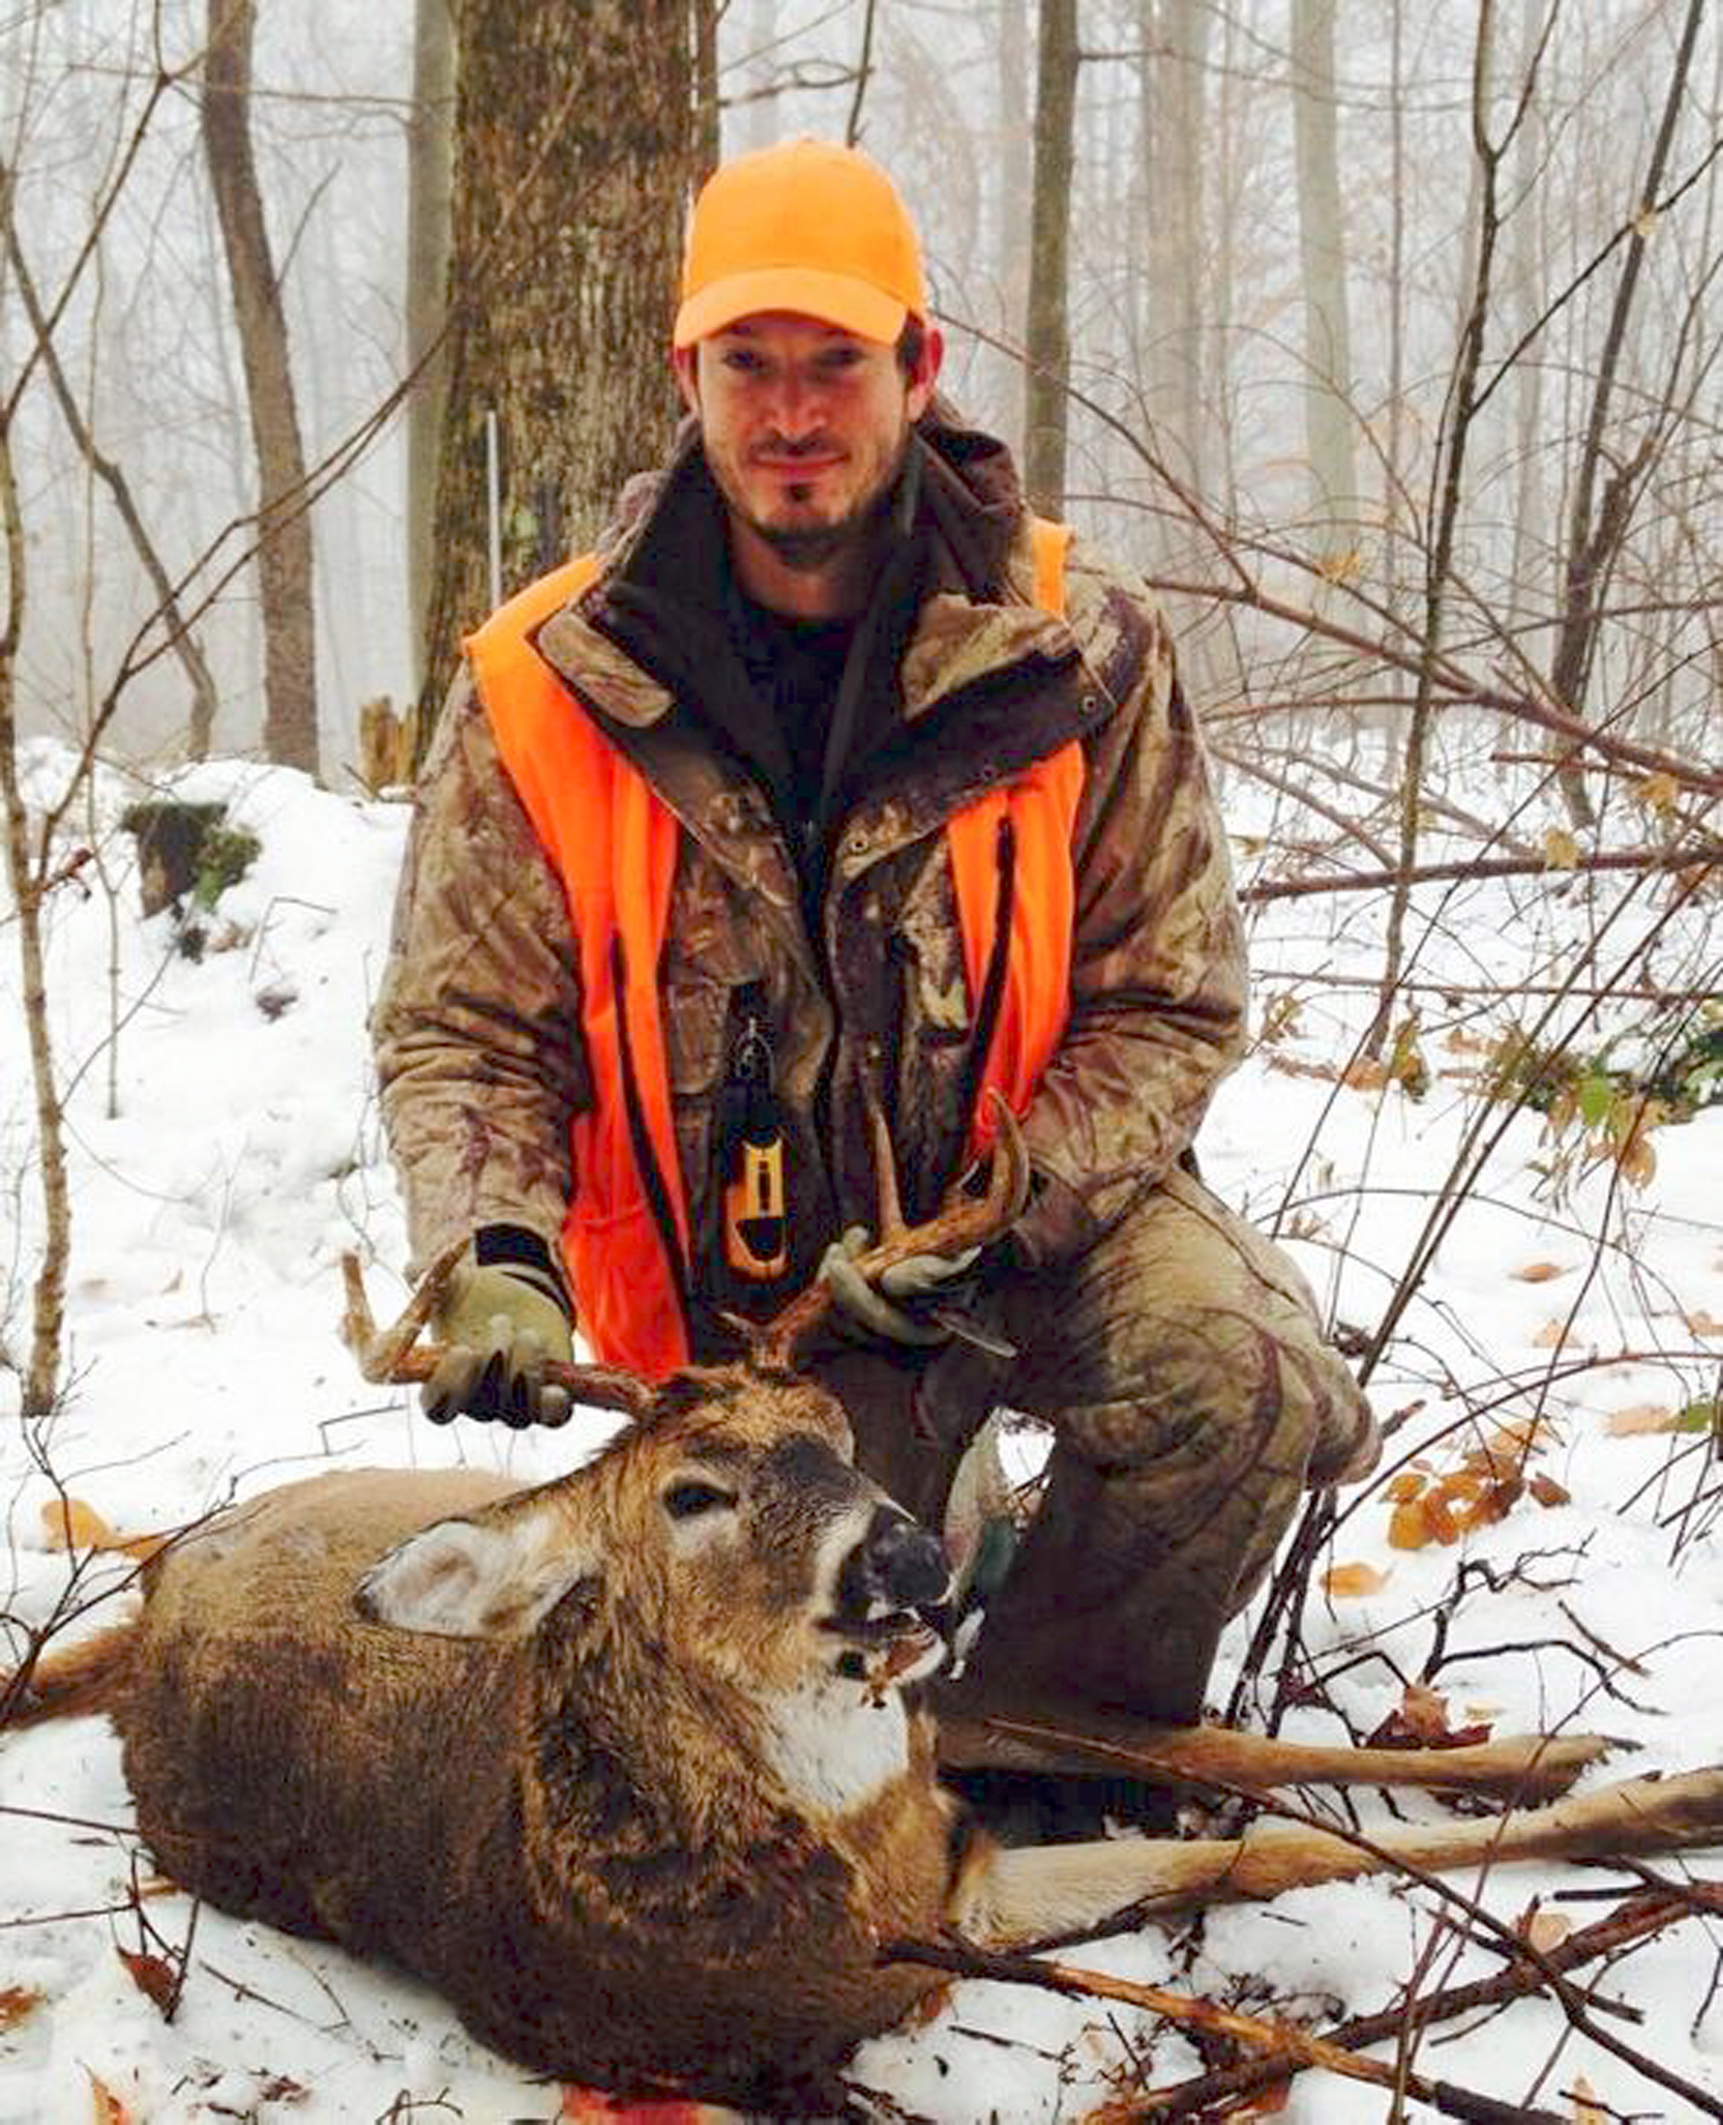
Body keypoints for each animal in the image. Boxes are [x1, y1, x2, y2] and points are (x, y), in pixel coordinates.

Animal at [7, 1101, 1723, 2110]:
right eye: (689, 1494)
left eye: (831, 1433)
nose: (906, 1563)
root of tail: (155, 1592)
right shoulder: (931, 1935)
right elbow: (1257, 1855)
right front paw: (1658, 1804)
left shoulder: (943, 1765)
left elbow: (1209, 1769)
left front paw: (1577, 1765)